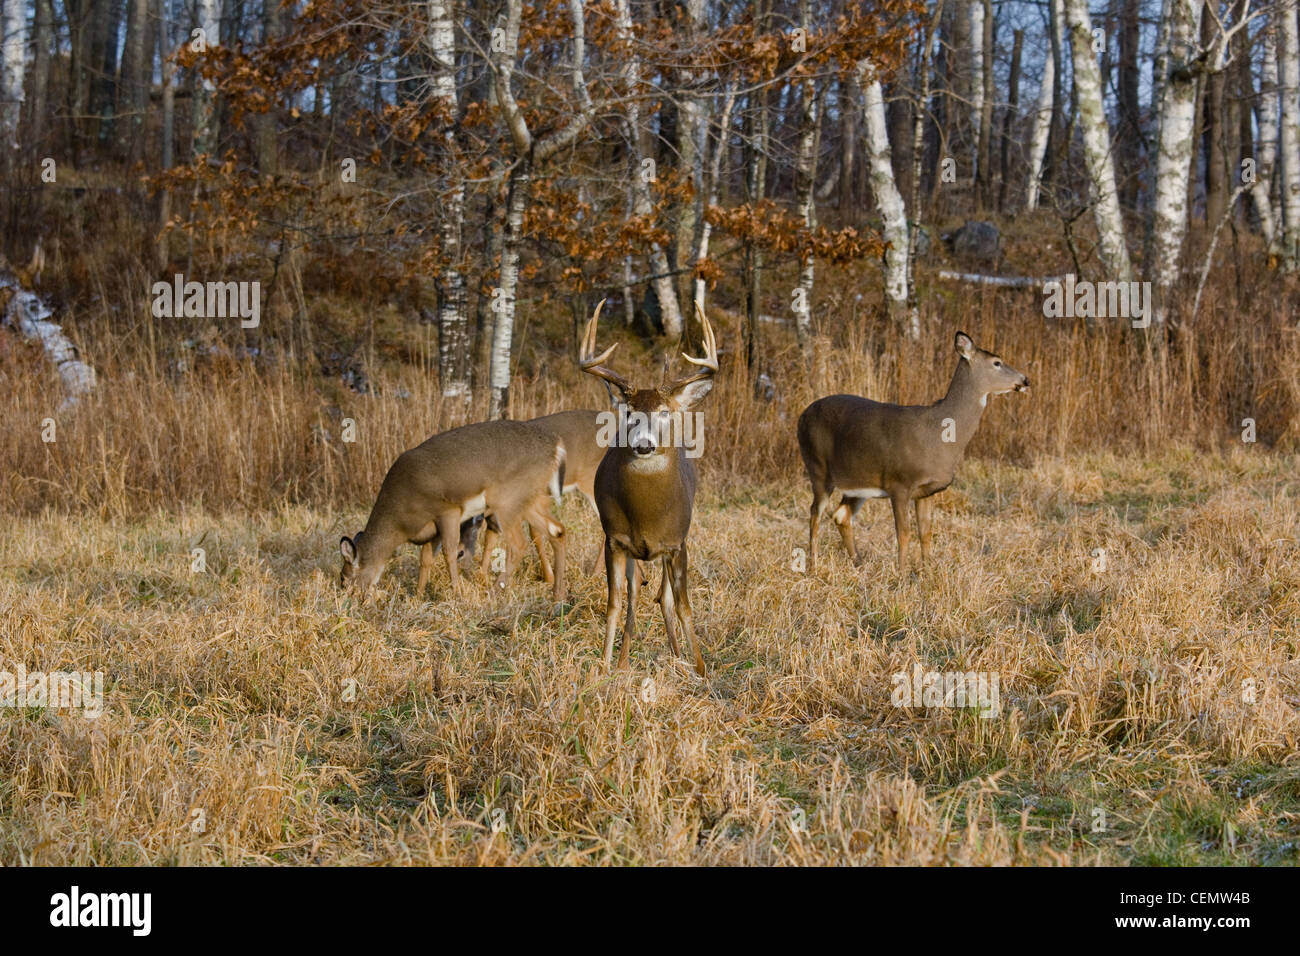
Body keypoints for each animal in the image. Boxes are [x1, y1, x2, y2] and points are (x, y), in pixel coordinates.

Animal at [340, 419, 567, 603]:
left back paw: (493, 592)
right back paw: (557, 594)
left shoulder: (448, 510)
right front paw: (418, 596)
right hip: (529, 499)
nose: (350, 601)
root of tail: (556, 447)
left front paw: (457, 594)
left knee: (519, 544)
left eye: (344, 579)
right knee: (557, 531)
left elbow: (449, 553)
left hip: (507, 500)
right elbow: (426, 559)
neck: (402, 521)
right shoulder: (432, 528)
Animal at [579, 299, 718, 676]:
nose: (644, 445)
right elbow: (615, 604)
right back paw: (626, 660)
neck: (648, 514)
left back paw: (677, 654)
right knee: (636, 595)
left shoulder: (676, 543)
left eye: (665, 413)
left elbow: (683, 606)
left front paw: (701, 668)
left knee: (664, 598)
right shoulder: (614, 540)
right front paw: (605, 666)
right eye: (629, 413)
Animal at [797, 331, 1029, 573]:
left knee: (841, 515)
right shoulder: (899, 483)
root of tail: (801, 416)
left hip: (857, 483)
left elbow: (925, 532)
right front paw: (901, 573)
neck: (941, 434)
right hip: (818, 468)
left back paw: (859, 563)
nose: (1025, 380)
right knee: (814, 514)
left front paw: (928, 570)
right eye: (997, 362)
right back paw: (813, 566)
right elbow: (903, 533)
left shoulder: (926, 491)